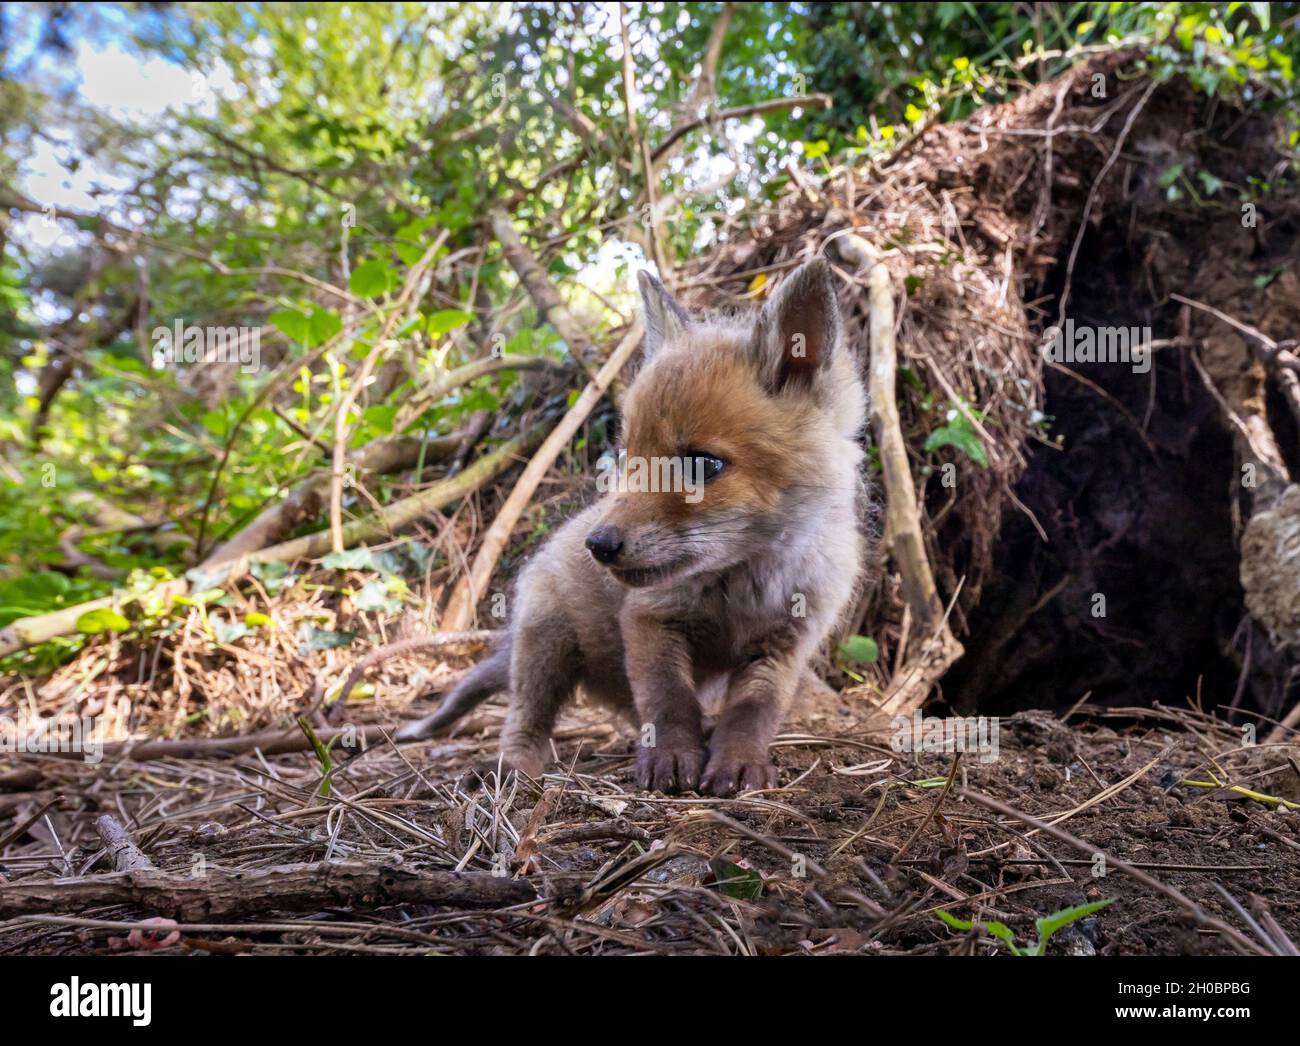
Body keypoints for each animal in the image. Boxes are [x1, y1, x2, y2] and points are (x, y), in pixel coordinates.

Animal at [397, 257, 868, 796]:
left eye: (702, 465)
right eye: (629, 458)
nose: (598, 544)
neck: (748, 579)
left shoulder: (786, 643)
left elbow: (753, 712)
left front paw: (738, 761)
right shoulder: (650, 619)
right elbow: (668, 702)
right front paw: (671, 757)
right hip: (546, 644)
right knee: (526, 720)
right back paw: (512, 767)